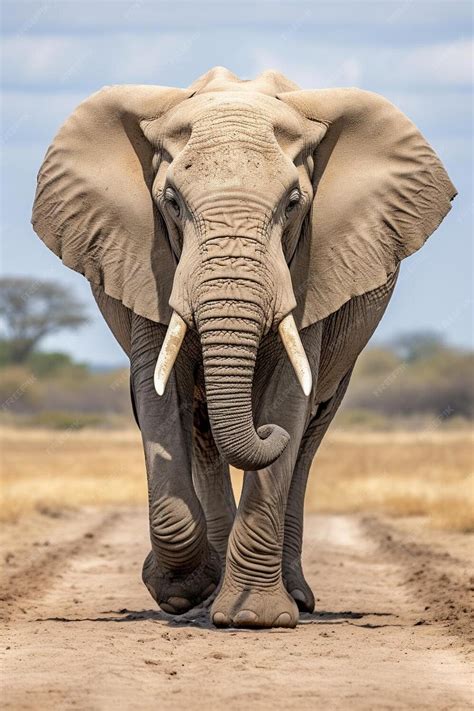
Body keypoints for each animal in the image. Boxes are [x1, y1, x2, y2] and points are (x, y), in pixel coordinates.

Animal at [32, 66, 456, 629]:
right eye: (171, 202)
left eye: (293, 203)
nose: (264, 432)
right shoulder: (147, 261)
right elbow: (157, 394)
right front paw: (182, 593)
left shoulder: (311, 265)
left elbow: (289, 399)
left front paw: (253, 618)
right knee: (201, 429)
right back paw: (205, 596)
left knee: (308, 436)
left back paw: (293, 596)